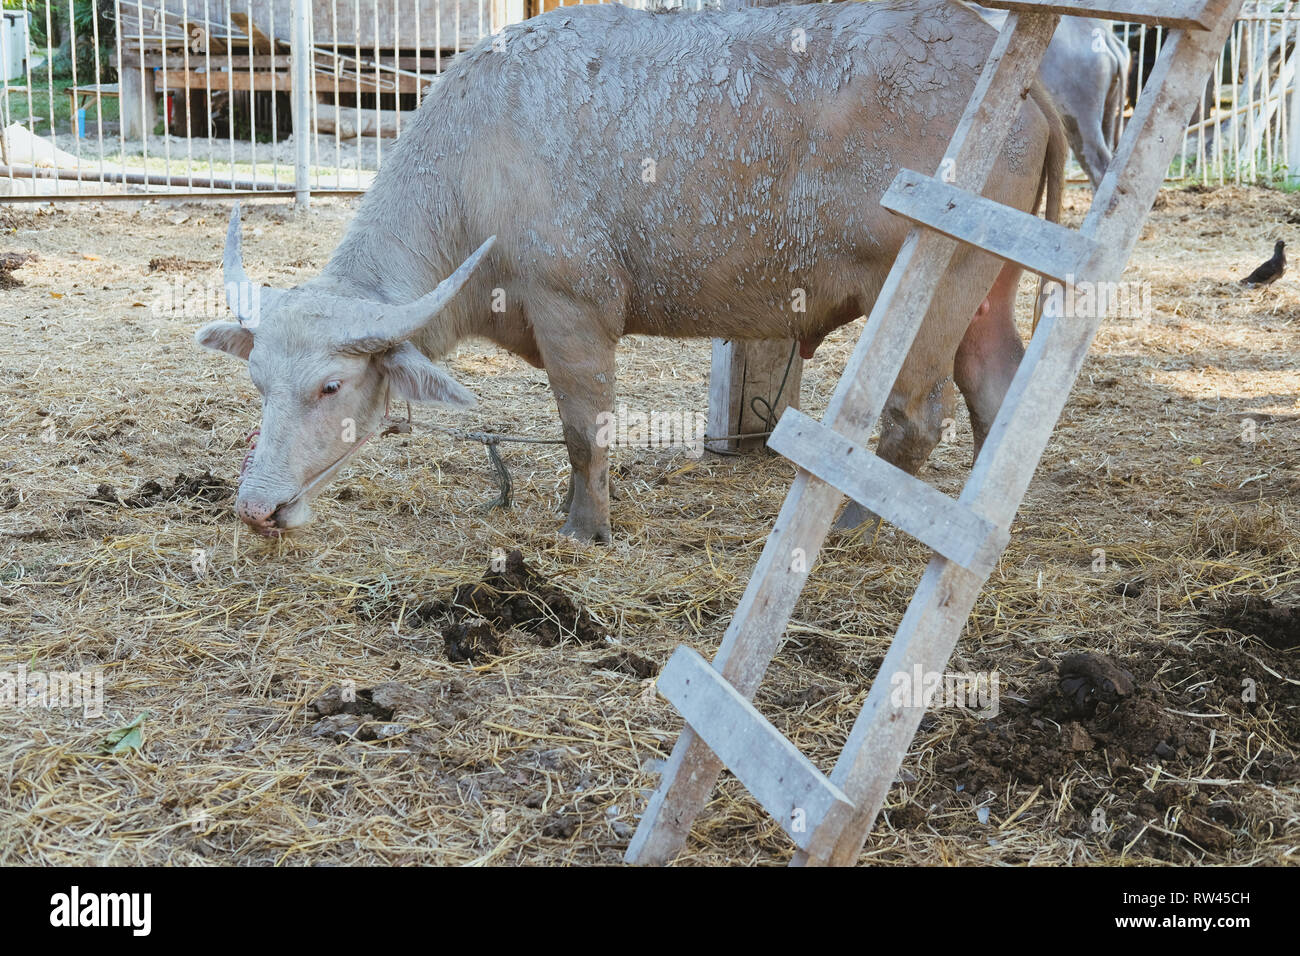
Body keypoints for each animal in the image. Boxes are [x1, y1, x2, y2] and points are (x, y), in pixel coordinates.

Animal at [196, 1, 1066, 543]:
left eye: (330, 387)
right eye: (258, 384)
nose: (256, 508)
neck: (476, 175)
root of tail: (1023, 83)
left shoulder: (573, 308)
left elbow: (584, 430)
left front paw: (586, 526)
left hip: (928, 290)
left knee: (913, 421)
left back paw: (853, 525)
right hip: (988, 290)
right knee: (995, 393)